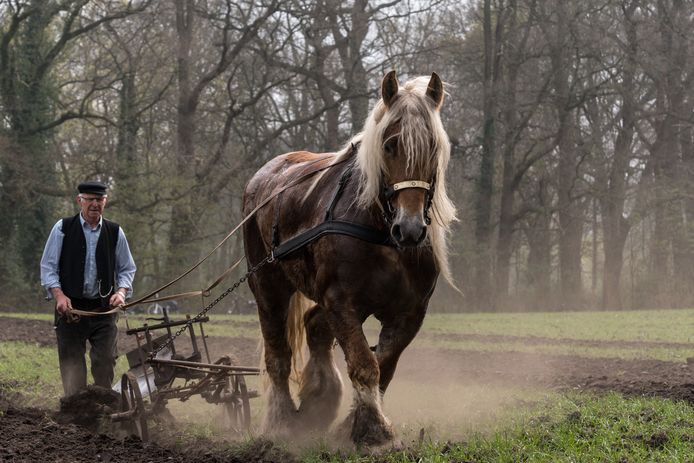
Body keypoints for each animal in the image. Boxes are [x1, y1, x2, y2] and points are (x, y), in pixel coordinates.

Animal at [242, 71, 456, 446]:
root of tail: (265, 173)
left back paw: (318, 400)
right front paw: (375, 432)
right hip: (267, 286)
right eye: (389, 145)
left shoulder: (410, 312)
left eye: (434, 146)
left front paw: (355, 424)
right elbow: (364, 365)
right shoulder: (341, 301)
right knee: (278, 355)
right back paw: (281, 420)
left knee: (314, 327)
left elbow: (383, 367)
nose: (411, 228)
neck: (384, 235)